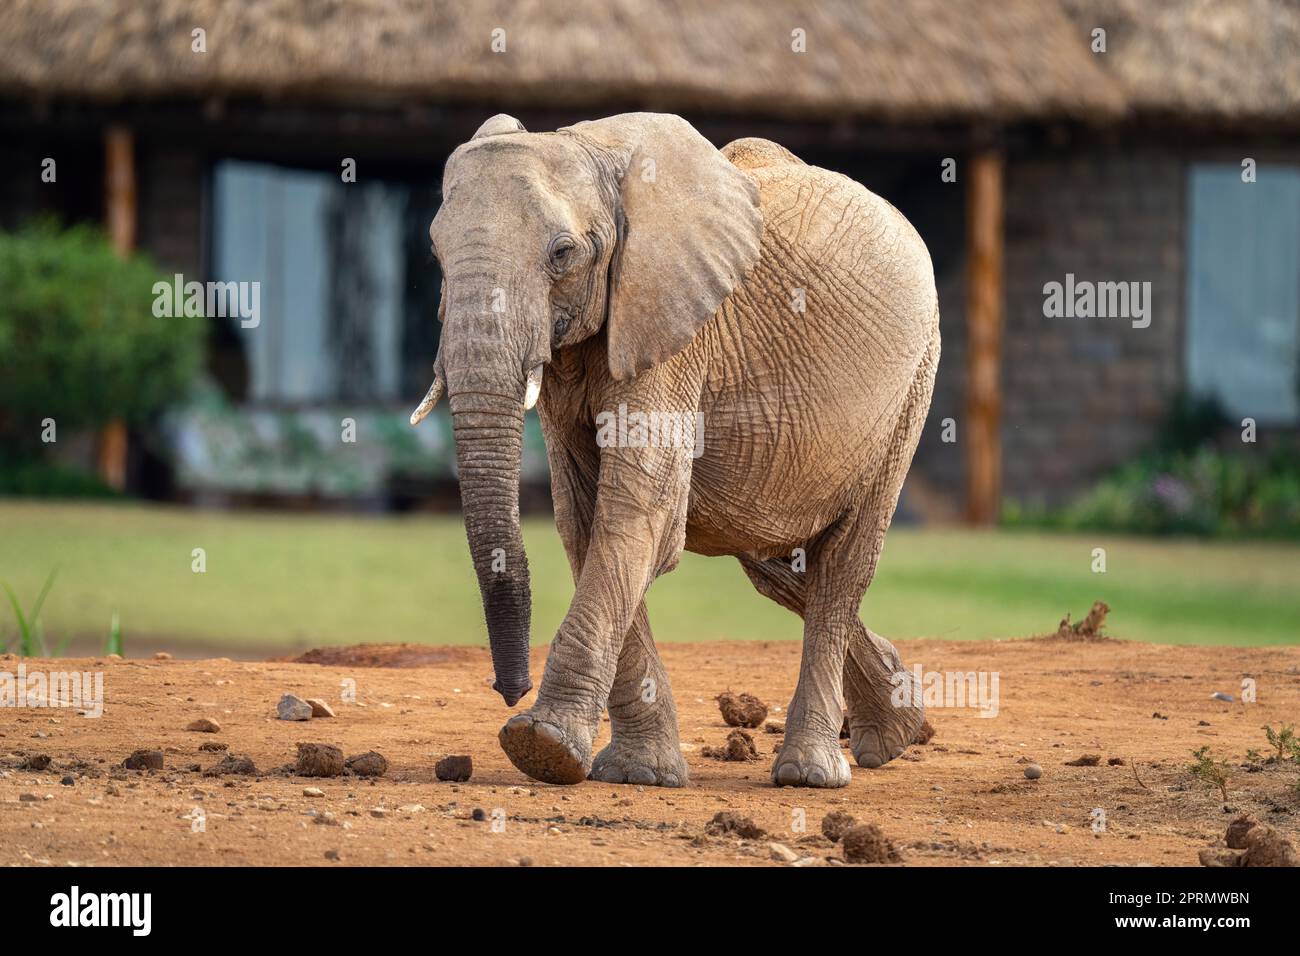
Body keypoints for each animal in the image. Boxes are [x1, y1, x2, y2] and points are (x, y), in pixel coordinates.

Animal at [410, 112, 939, 788]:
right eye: (435, 254)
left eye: (563, 254)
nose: (509, 689)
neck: (591, 150)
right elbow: (586, 521)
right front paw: (637, 773)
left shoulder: (674, 332)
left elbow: (637, 514)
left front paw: (540, 747)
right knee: (774, 562)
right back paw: (900, 726)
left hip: (911, 385)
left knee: (843, 564)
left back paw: (811, 774)